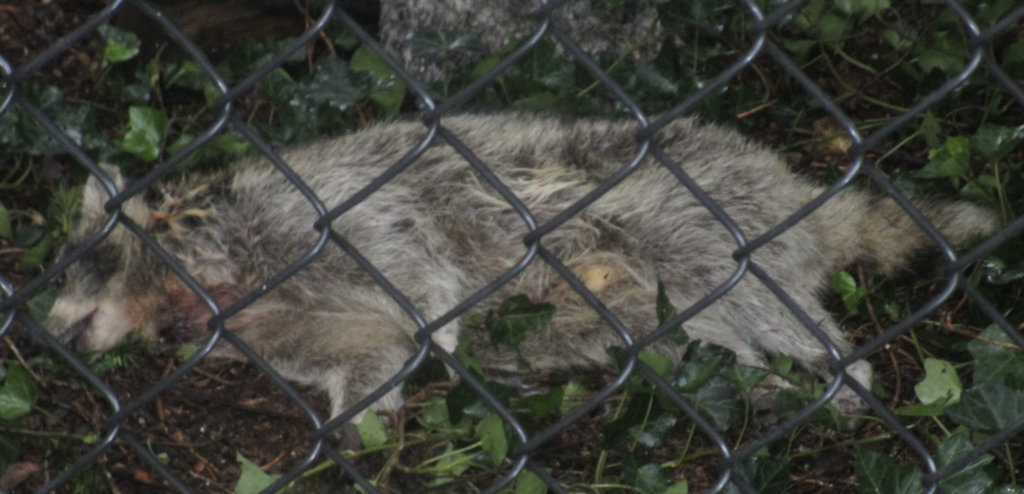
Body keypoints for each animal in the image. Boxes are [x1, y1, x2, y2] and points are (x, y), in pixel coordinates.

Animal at [44, 113, 998, 424]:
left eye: (76, 264)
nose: (48, 332)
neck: (186, 293)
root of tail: (793, 186)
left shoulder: (301, 217)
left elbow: (404, 255)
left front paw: (434, 323)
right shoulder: (259, 324)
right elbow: (366, 350)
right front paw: (361, 416)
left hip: (703, 222)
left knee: (739, 302)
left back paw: (837, 372)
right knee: (684, 336)